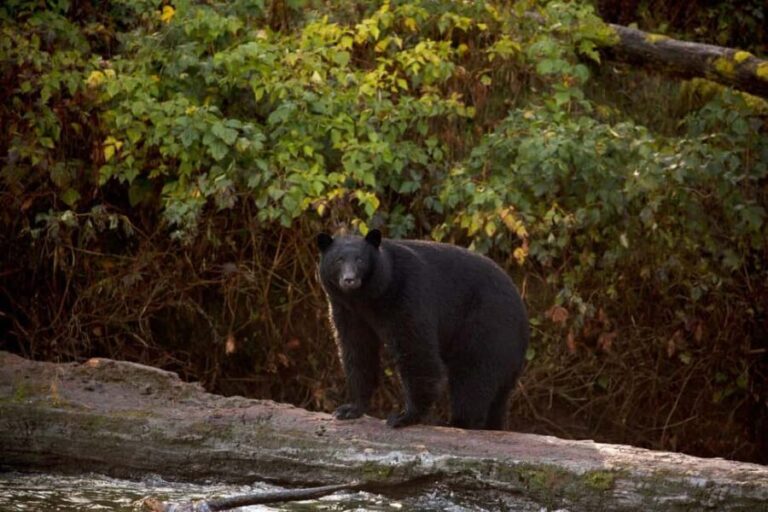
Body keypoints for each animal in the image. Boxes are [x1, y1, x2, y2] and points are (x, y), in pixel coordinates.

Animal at [317, 229, 529, 430]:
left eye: (360, 260)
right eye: (338, 260)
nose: (349, 280)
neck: (367, 297)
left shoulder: (405, 294)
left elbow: (415, 348)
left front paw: (404, 416)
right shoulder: (347, 310)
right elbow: (356, 349)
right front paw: (350, 408)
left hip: (487, 324)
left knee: (473, 373)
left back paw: (457, 421)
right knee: (496, 396)